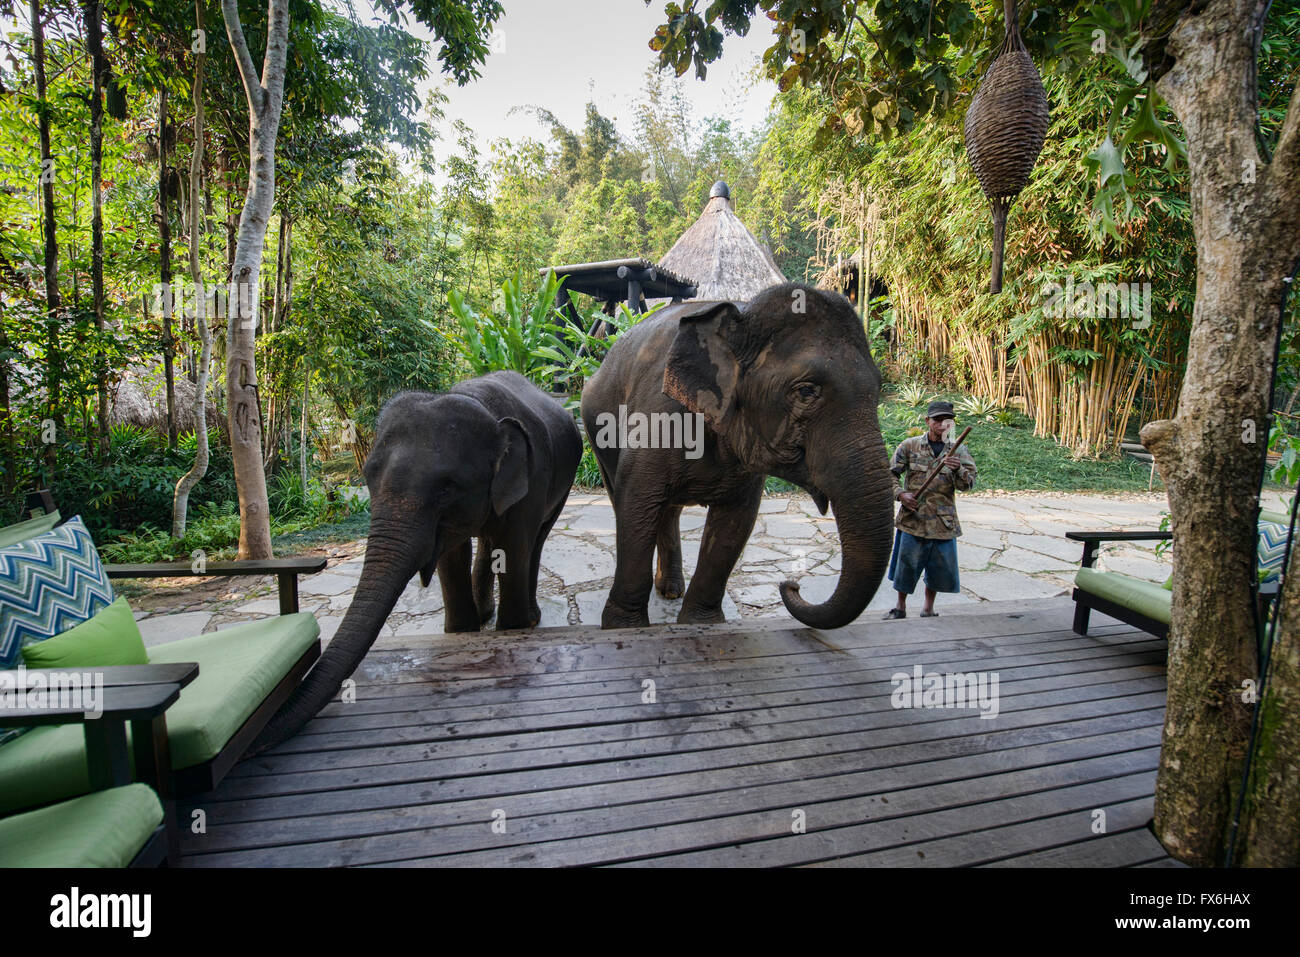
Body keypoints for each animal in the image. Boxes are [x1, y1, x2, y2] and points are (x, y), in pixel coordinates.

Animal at [253, 370, 582, 751]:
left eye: (446, 488)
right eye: (367, 478)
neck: (478, 404)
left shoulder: (531, 481)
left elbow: (514, 549)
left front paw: (512, 629)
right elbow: (451, 558)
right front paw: (462, 632)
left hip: (564, 480)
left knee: (536, 541)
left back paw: (531, 618)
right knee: (489, 543)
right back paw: (487, 613)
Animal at [579, 283, 895, 631]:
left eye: (879, 389)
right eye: (806, 391)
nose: (791, 584)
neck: (741, 312)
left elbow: (735, 521)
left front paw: (701, 624)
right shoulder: (656, 415)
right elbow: (637, 505)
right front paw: (625, 628)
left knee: (669, 509)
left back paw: (671, 590)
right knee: (625, 497)